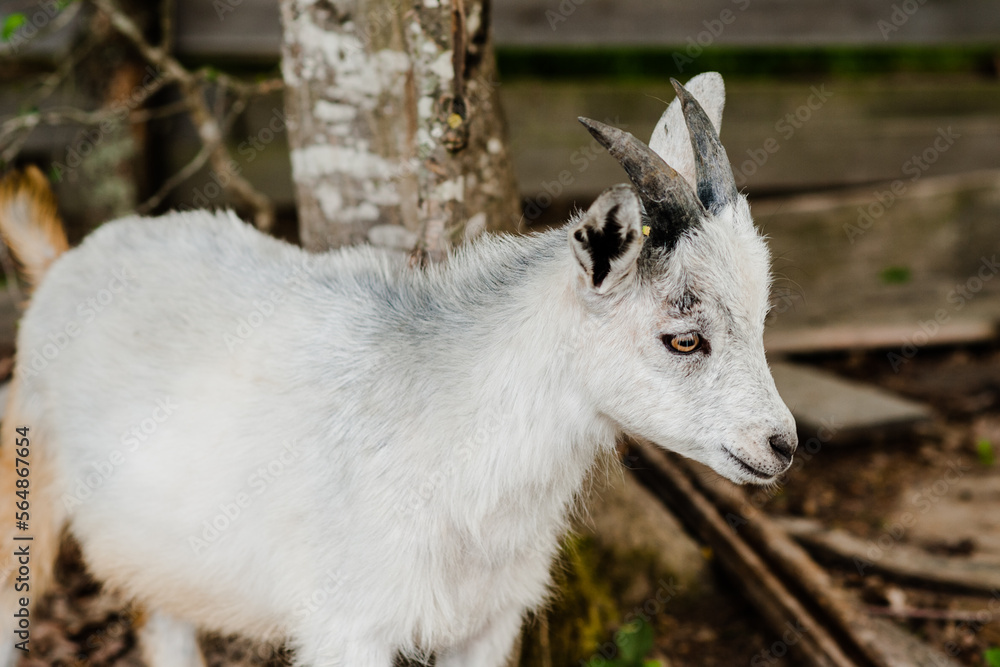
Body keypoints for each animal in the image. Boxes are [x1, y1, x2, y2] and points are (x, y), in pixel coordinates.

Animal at [0, 73, 795, 667]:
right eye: (682, 339)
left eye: (759, 318)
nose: (781, 445)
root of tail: (62, 264)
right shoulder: (346, 628)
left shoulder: (487, 625)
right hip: (25, 493)